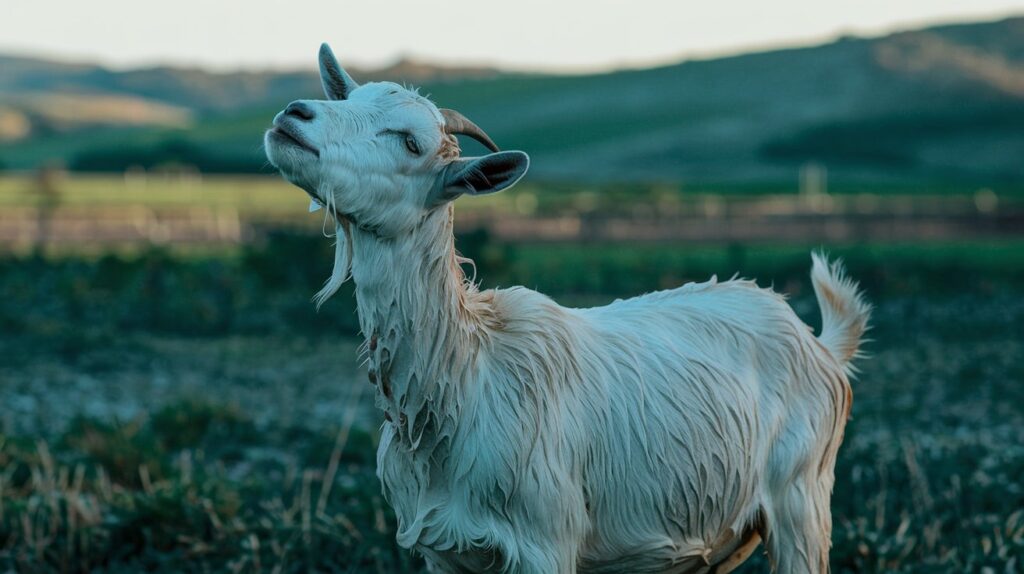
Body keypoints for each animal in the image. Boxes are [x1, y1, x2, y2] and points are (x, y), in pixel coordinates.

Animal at [264, 43, 871, 574]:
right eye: (351, 97)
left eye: (411, 142)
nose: (294, 115)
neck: (465, 379)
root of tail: (818, 342)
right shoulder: (443, 553)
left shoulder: (544, 543)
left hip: (801, 502)